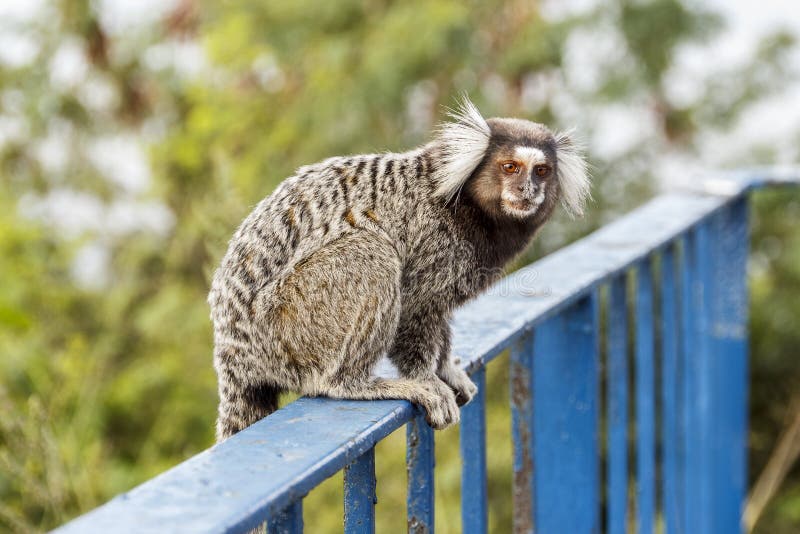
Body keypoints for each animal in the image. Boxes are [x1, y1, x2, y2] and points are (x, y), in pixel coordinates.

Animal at [209, 97, 589, 441]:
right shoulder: (432, 239)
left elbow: (439, 316)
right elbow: (414, 309)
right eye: (510, 167)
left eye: (542, 171)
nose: (527, 189)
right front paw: (426, 378)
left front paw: (446, 368)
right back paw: (353, 384)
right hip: (284, 324)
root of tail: (232, 348)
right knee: (372, 252)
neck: (463, 205)